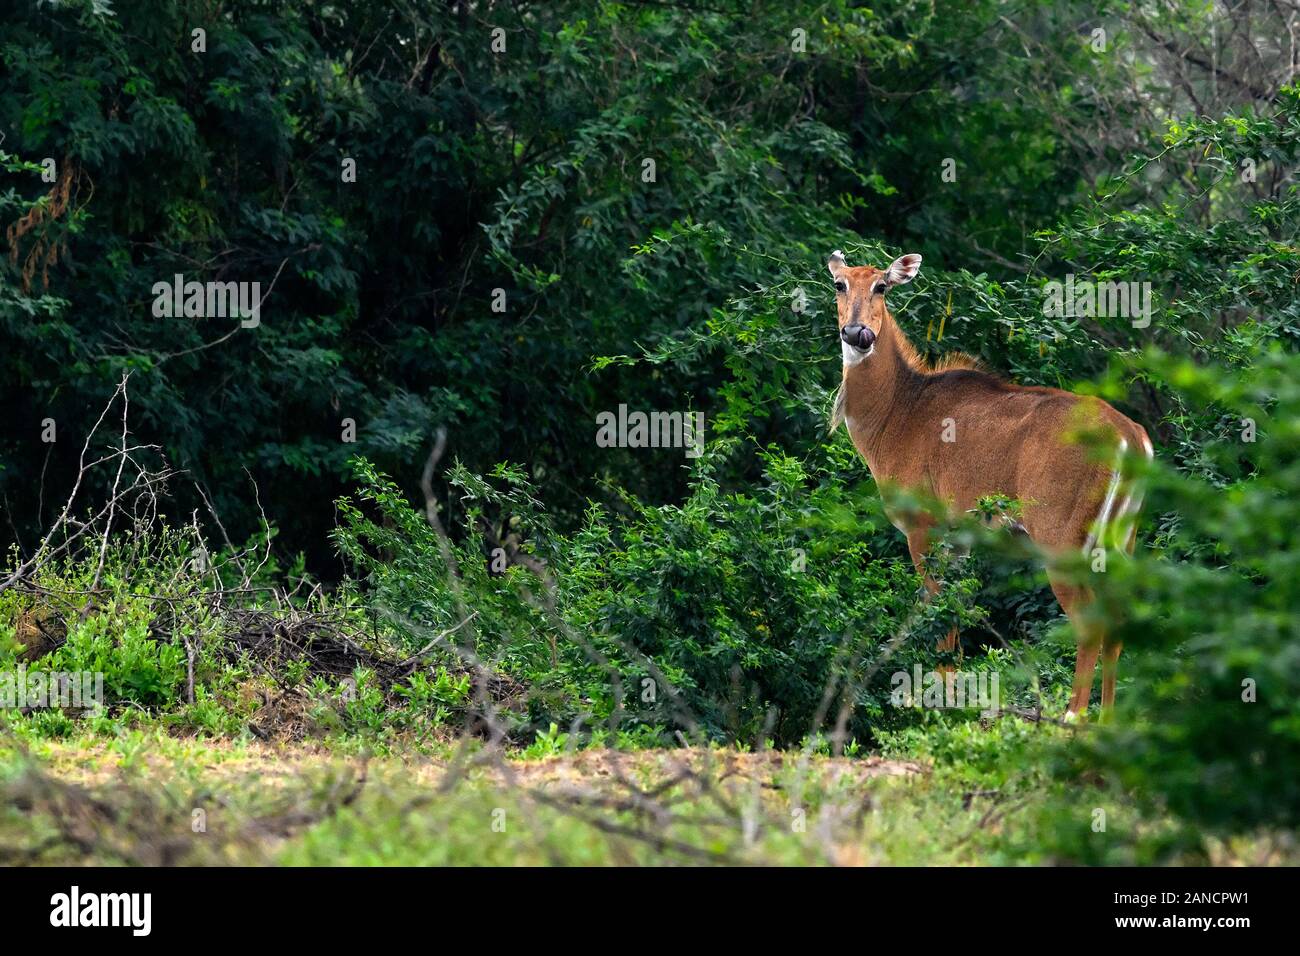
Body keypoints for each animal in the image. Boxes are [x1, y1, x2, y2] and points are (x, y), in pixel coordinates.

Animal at [828, 250, 1152, 718]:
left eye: (881, 286)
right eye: (840, 284)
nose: (857, 332)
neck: (896, 415)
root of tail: (1133, 439)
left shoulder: (924, 523)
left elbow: (935, 608)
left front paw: (939, 701)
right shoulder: (960, 536)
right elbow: (953, 611)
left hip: (1062, 536)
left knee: (1089, 622)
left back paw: (1072, 715)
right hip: (1121, 539)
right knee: (1118, 620)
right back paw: (1107, 717)